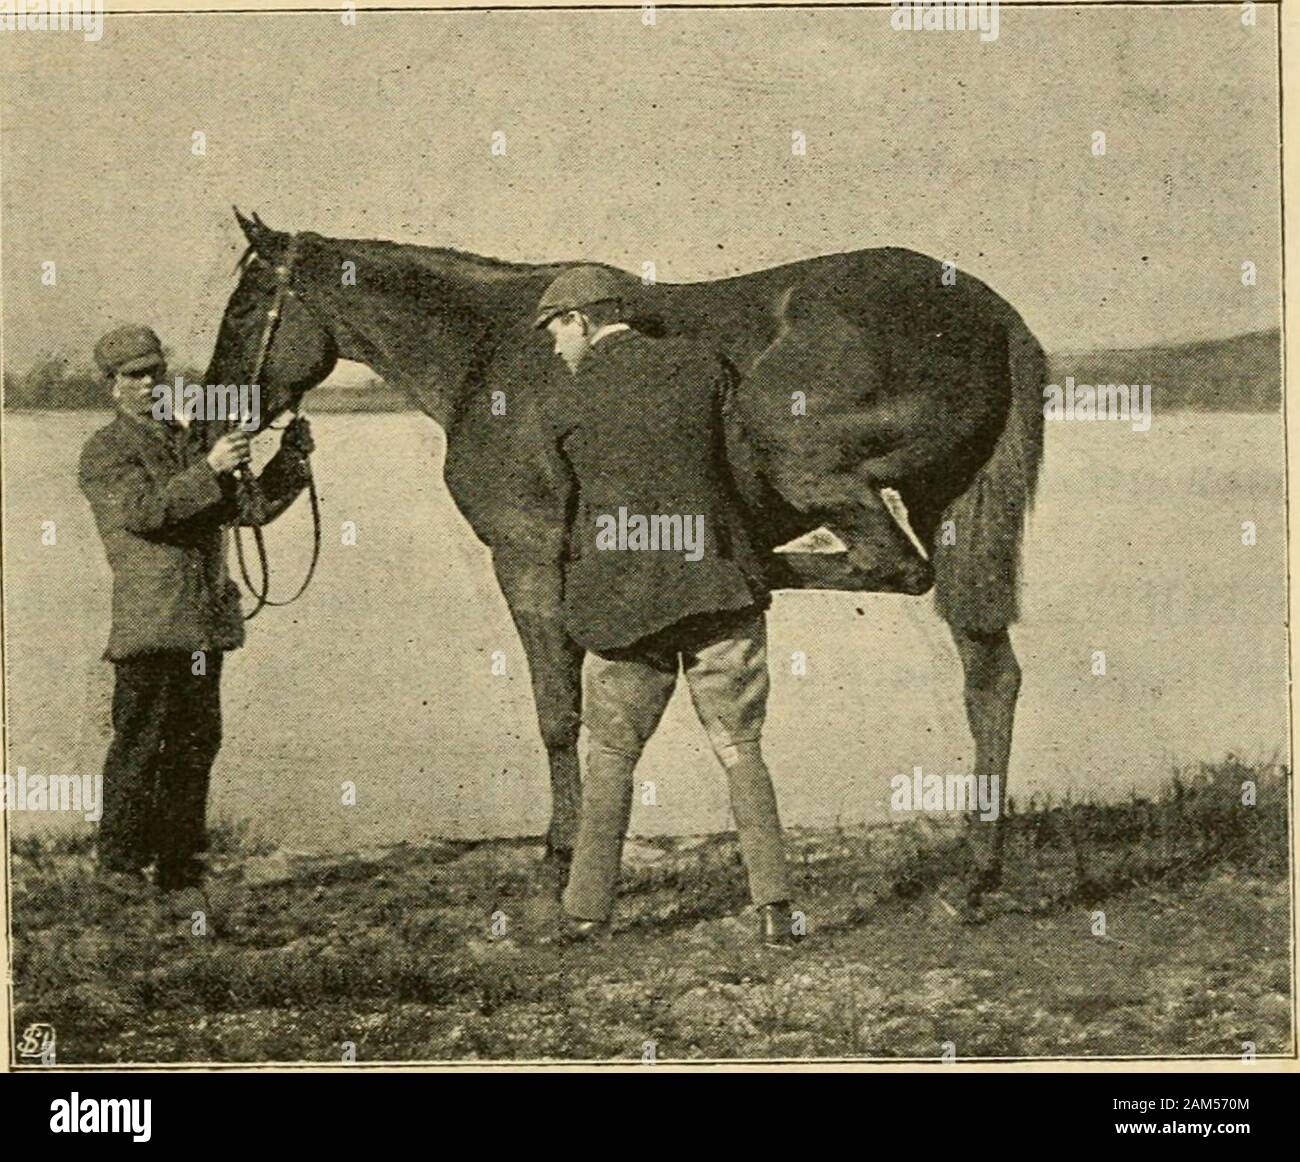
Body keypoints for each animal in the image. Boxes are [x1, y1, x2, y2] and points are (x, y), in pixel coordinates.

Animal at [206, 209, 1046, 902]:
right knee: (990, 677)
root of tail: (991, 312)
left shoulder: (526, 557)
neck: (491, 354)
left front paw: (556, 860)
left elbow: (557, 712)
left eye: (245, 306)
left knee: (896, 570)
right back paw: (977, 872)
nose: (207, 416)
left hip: (812, 463)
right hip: (949, 502)